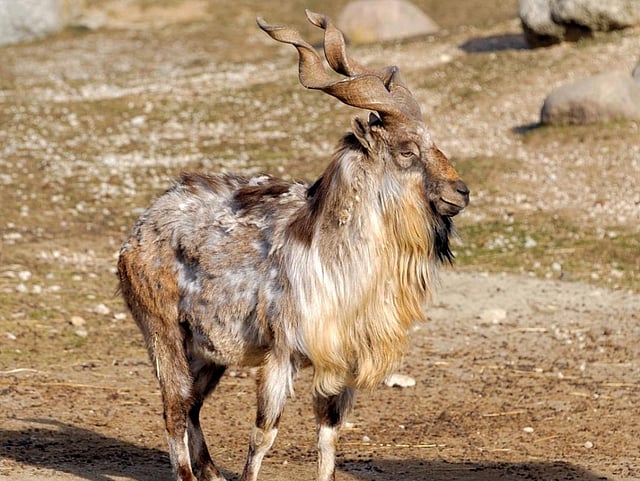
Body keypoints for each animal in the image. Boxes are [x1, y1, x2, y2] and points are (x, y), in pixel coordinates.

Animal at [117, 10, 469, 481]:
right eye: (407, 150)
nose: (461, 192)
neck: (336, 259)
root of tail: (138, 232)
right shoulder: (281, 354)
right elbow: (263, 435)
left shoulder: (340, 365)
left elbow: (328, 436)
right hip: (164, 332)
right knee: (174, 409)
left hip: (208, 352)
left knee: (191, 406)